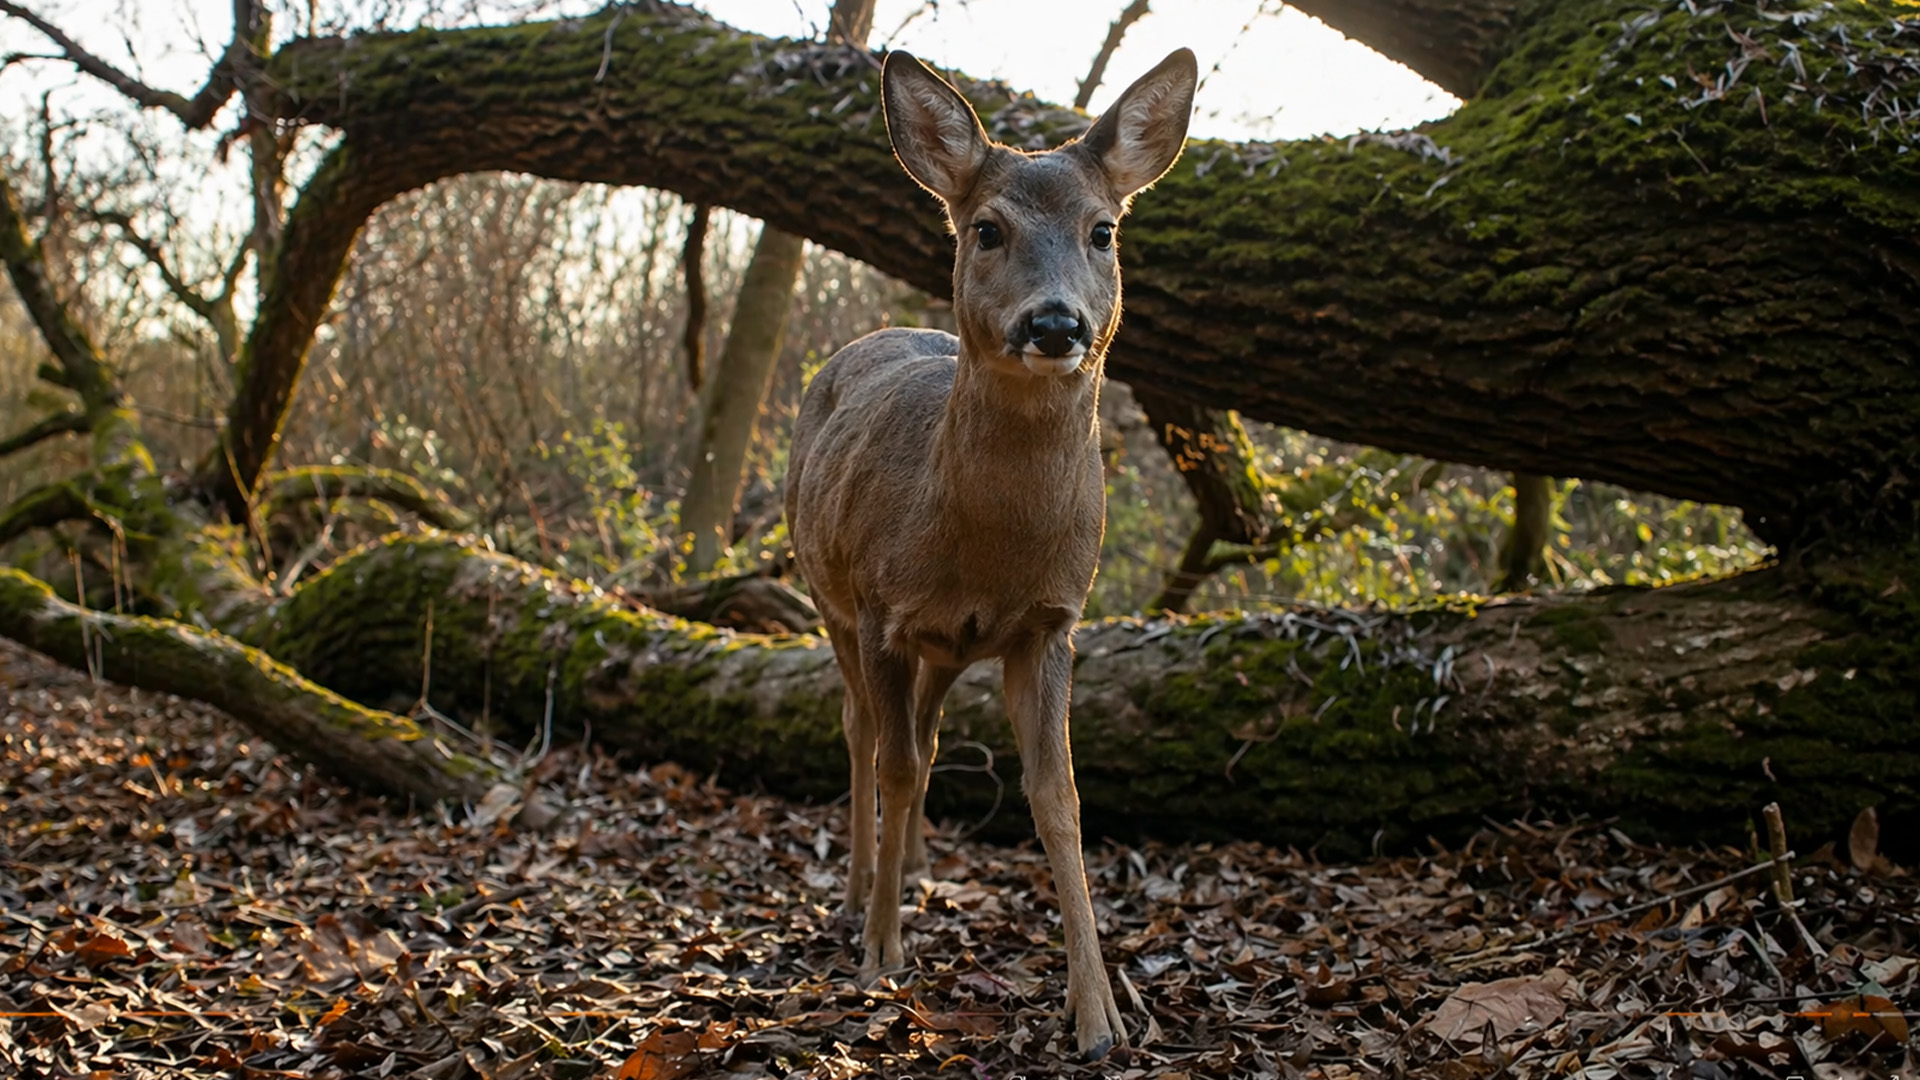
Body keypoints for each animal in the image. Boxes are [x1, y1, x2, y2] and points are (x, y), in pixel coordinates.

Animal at [783, 48, 1196, 1060]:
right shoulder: (884, 611)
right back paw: (862, 892)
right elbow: (891, 764)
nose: (1055, 324)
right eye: (987, 228)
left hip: (945, 648)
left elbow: (1059, 798)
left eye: (1102, 230)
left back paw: (915, 868)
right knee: (864, 732)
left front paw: (1100, 1015)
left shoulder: (1049, 624)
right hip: (828, 594)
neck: (981, 543)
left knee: (926, 741)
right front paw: (881, 954)